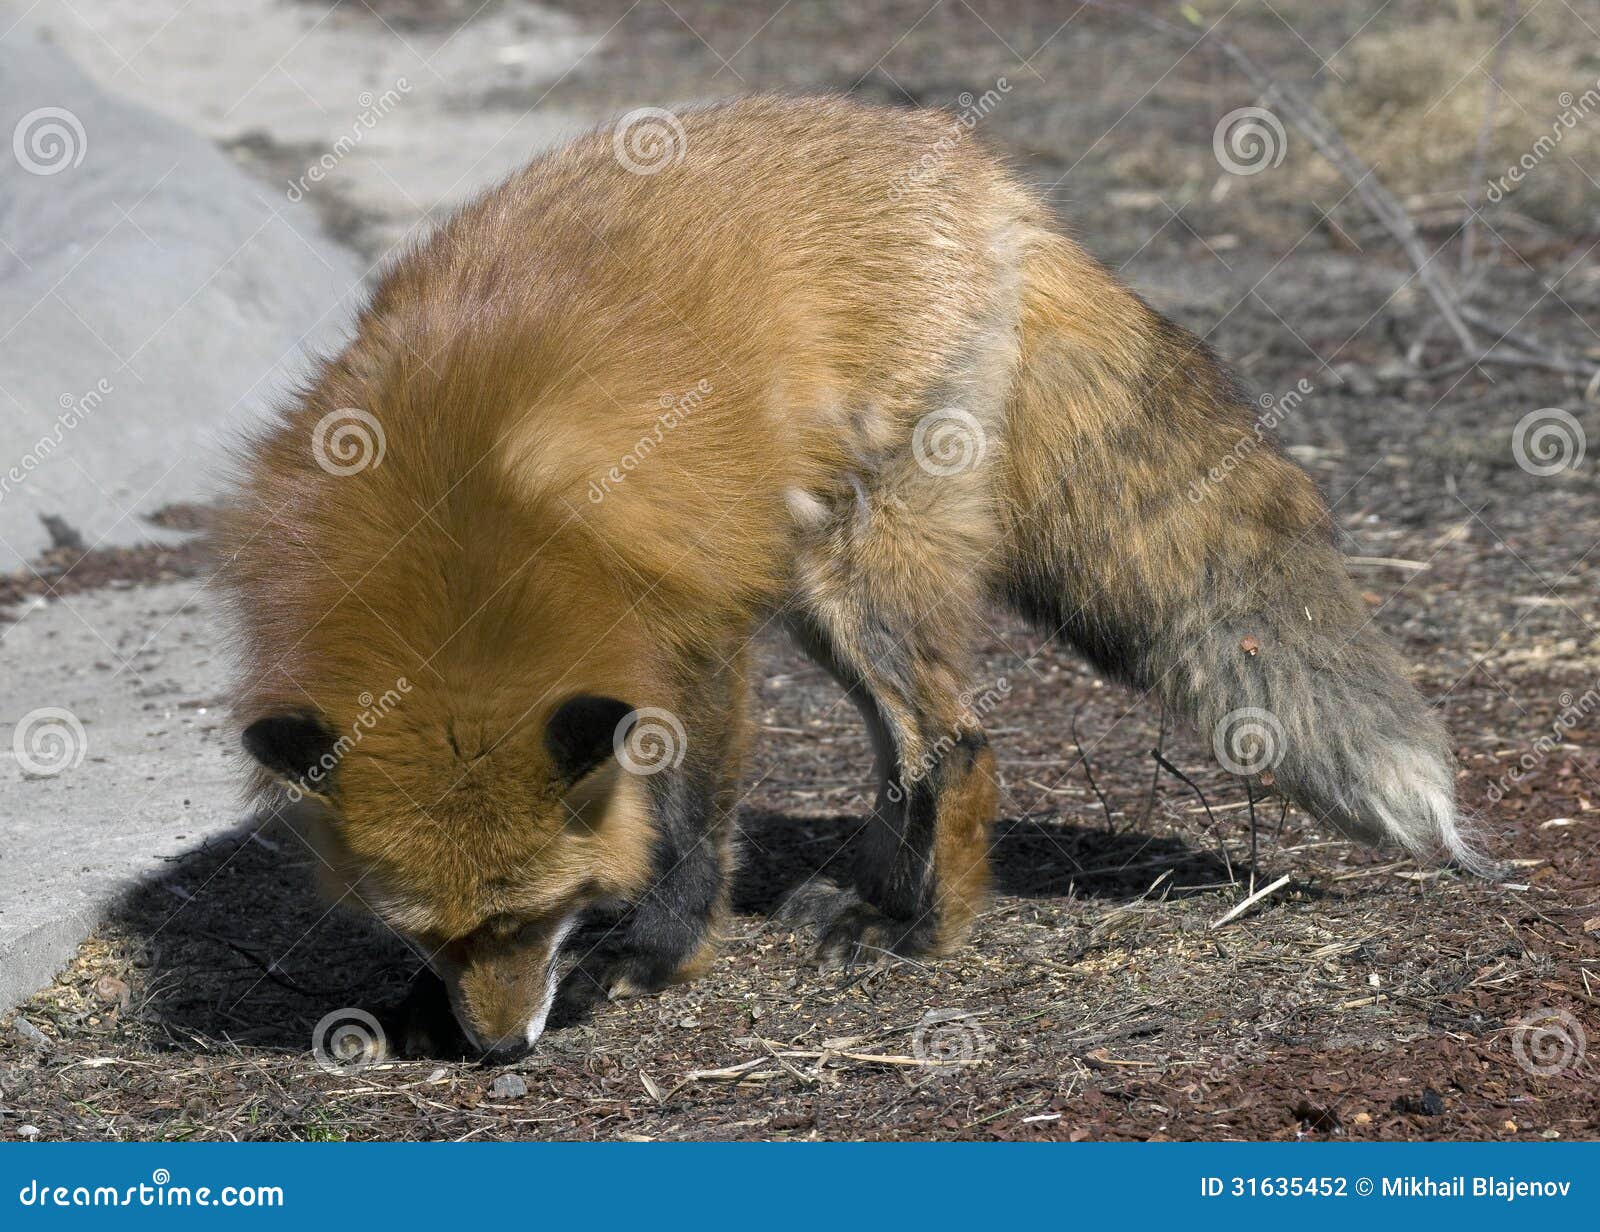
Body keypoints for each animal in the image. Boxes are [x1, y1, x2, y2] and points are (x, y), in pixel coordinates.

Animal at [219, 95, 1484, 1057]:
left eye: (541, 913)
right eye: (433, 932)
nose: (497, 1046)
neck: (461, 516)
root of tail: (984, 173)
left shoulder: (690, 630)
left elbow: (692, 826)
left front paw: (659, 950)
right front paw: (416, 1004)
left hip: (856, 573)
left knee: (960, 742)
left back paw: (929, 932)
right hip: (820, 596)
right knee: (901, 755)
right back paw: (881, 895)